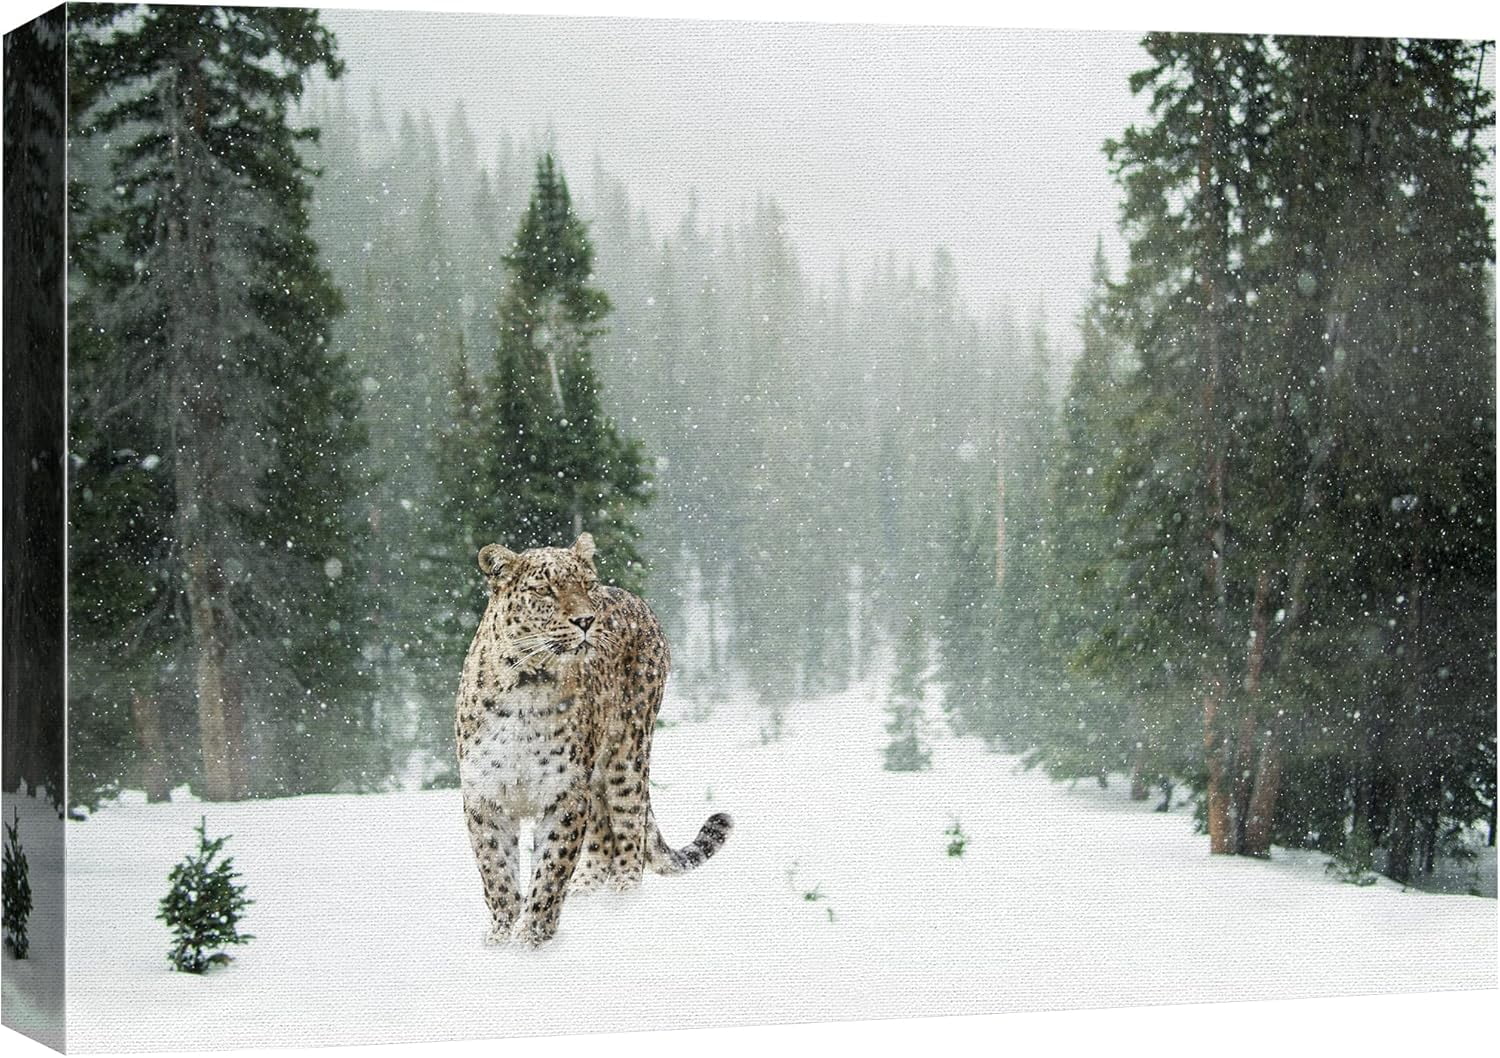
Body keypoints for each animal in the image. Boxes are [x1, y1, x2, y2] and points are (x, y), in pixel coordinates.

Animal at [454, 532, 732, 947]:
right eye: (545, 590)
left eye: (587, 585)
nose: (586, 620)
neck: (527, 686)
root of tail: (636, 600)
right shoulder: (485, 796)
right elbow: (497, 871)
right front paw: (501, 938)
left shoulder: (565, 793)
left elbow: (550, 871)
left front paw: (533, 939)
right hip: (597, 776)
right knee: (603, 836)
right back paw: (586, 892)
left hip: (627, 755)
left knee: (629, 830)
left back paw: (622, 903)